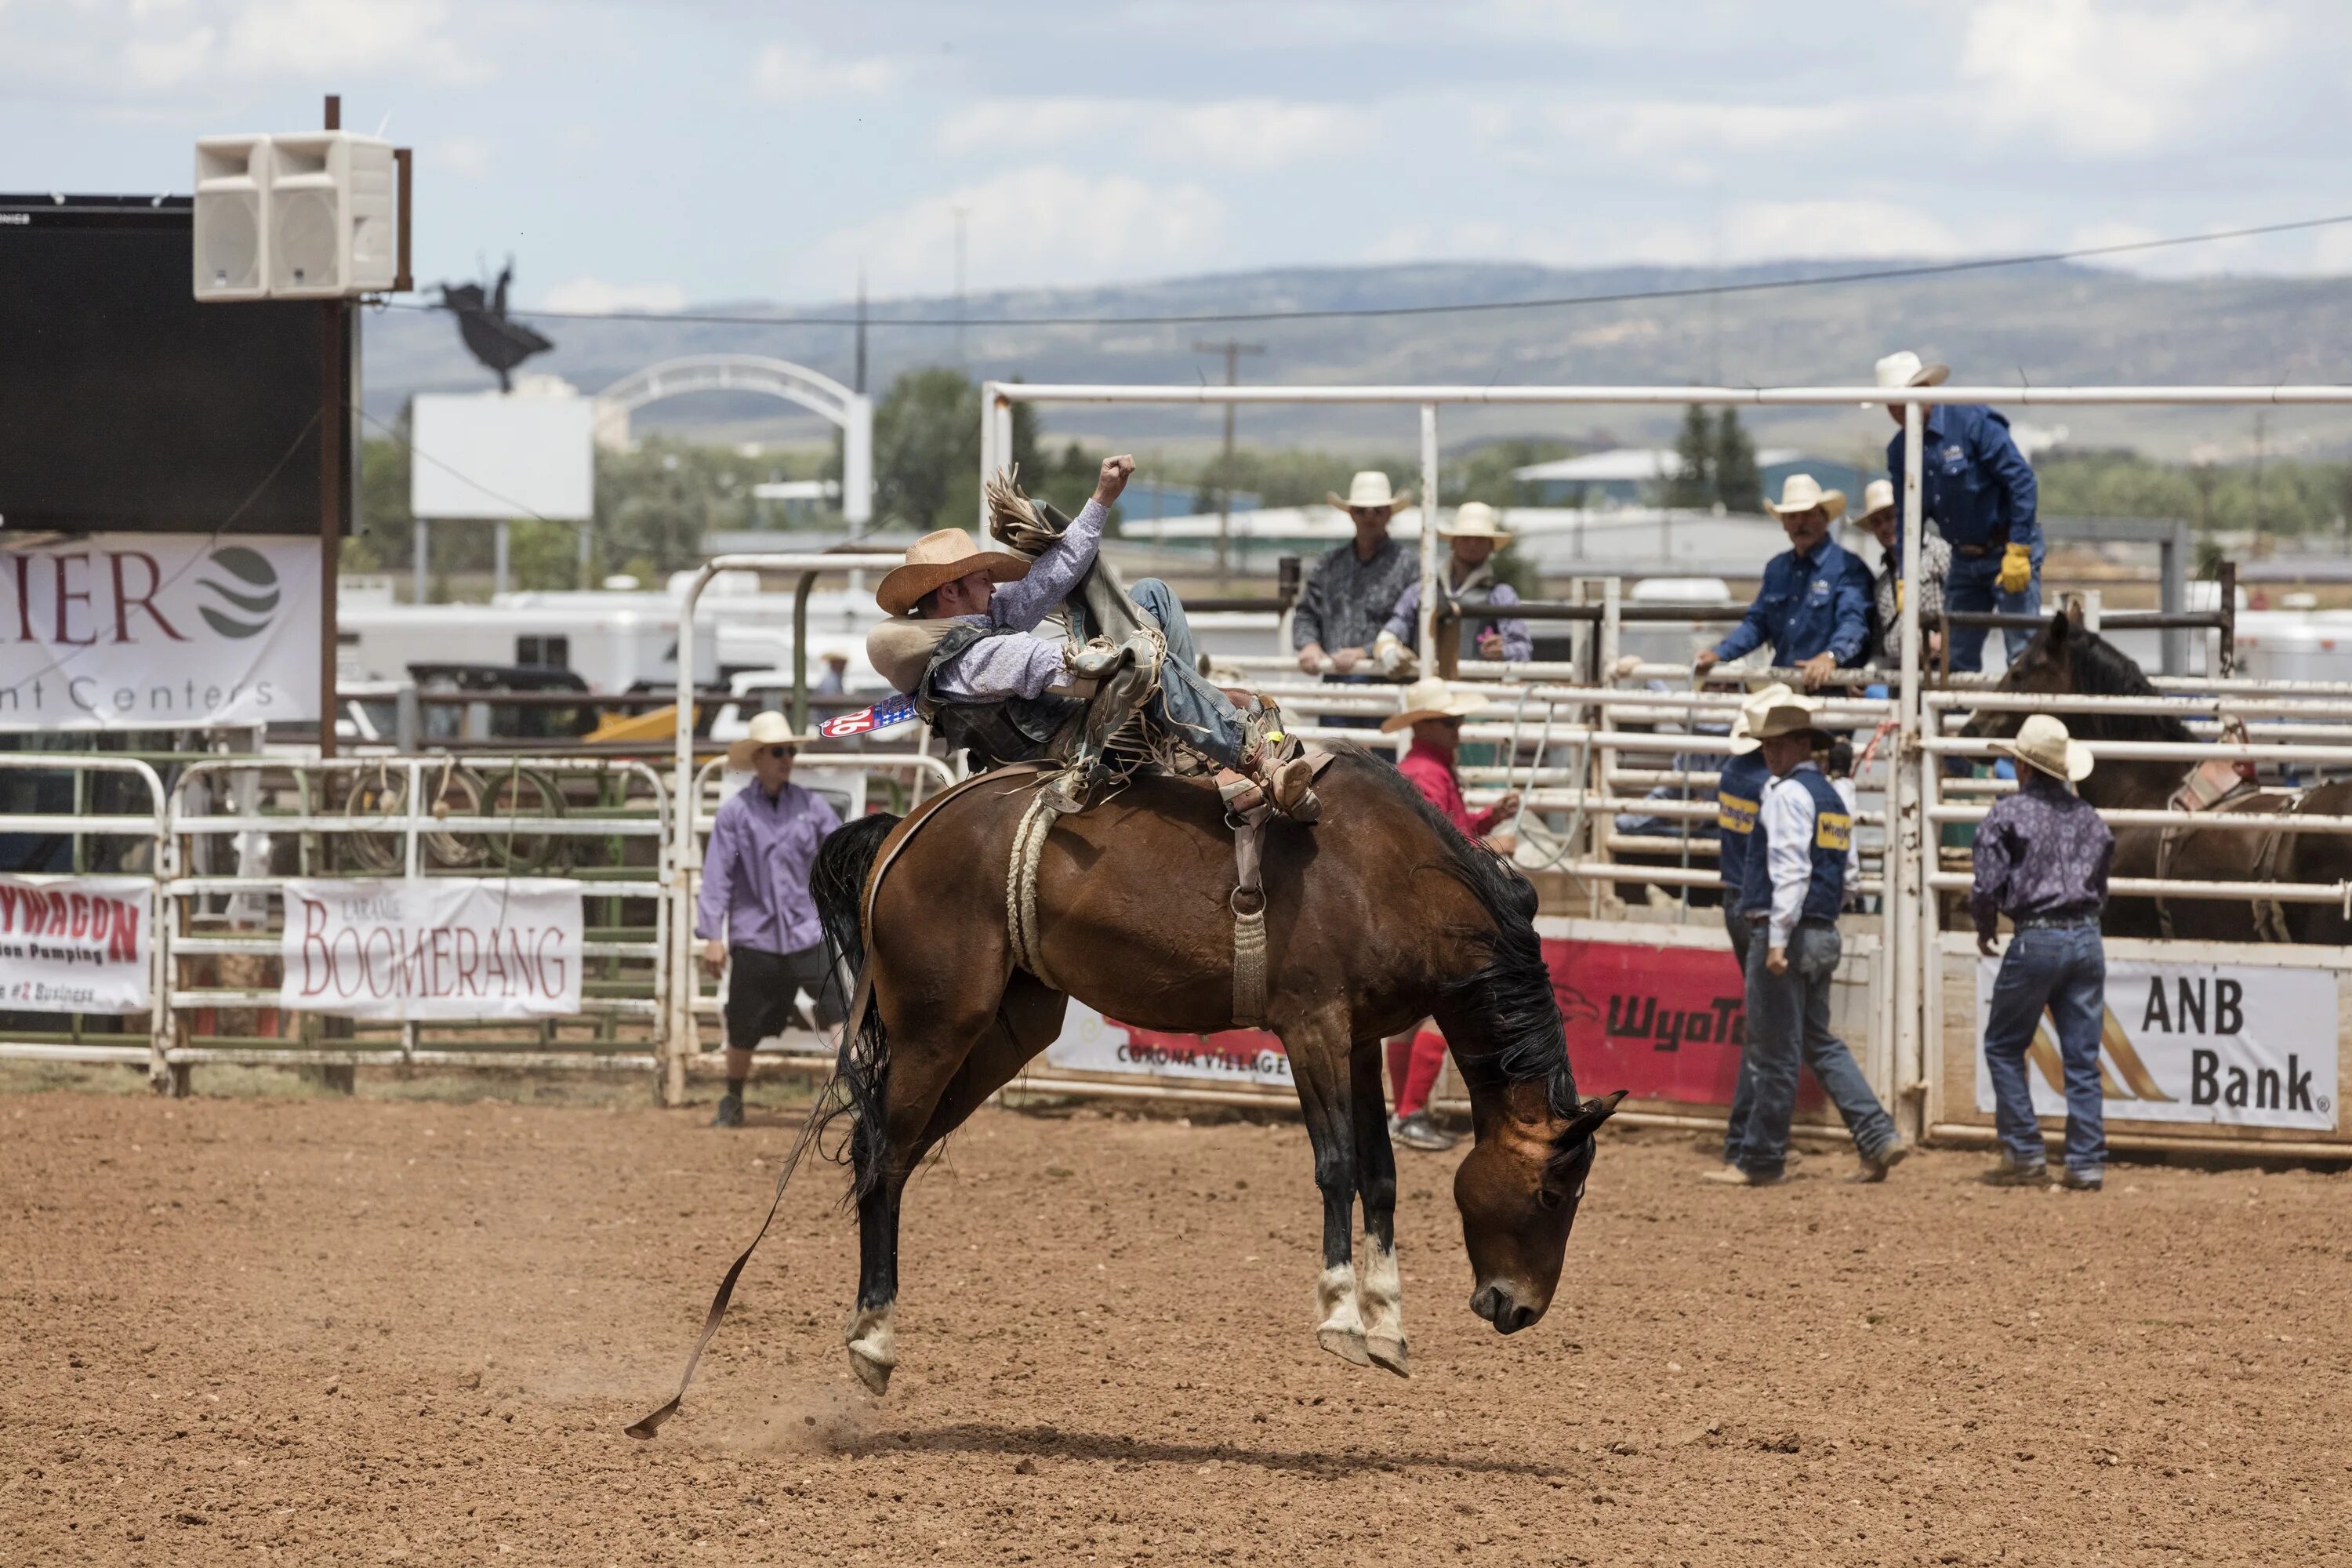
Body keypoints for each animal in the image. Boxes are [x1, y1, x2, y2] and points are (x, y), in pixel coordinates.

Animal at [809, 747, 1618, 1401]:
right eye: (1553, 1192)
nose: (1519, 1308)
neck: (1389, 877)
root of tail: (910, 829)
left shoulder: (1360, 1041)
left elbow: (1382, 1175)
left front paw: (1389, 1325)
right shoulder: (1313, 1027)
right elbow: (1337, 1165)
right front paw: (1340, 1317)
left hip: (1005, 1029)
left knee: (892, 1153)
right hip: (938, 1022)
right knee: (883, 1154)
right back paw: (873, 1338)